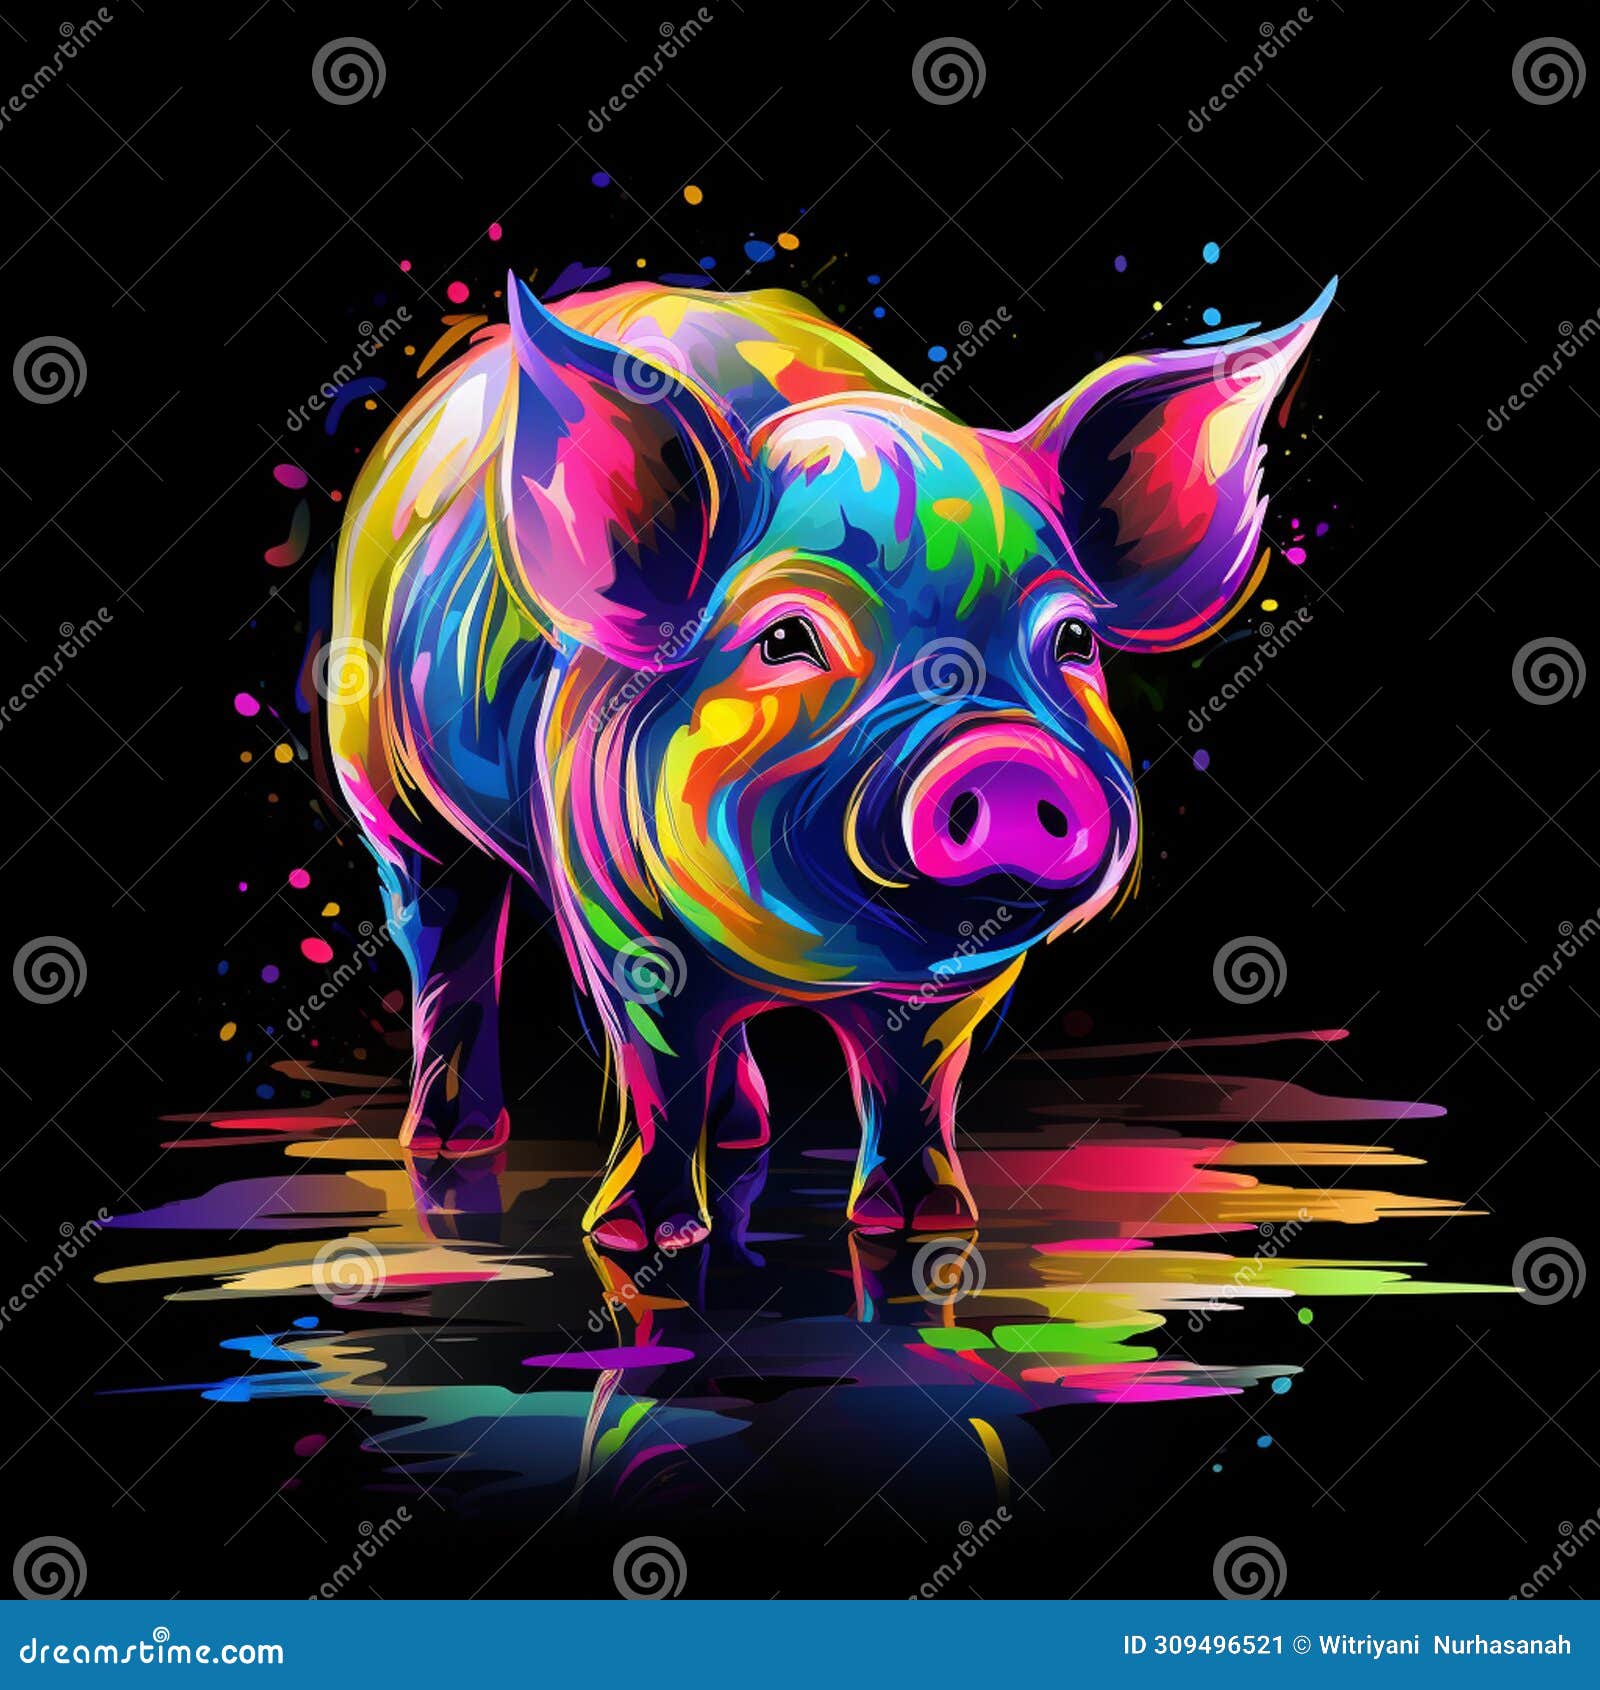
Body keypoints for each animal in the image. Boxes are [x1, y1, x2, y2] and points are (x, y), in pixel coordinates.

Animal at [327, 270, 1333, 1250]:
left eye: (1075, 639)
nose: (1007, 755)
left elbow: (918, 1078)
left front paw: (930, 1224)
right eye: (787, 639)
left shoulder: (965, 974)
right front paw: (639, 1241)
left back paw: (745, 1135)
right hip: (380, 784)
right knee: (443, 931)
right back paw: (450, 1143)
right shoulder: (610, 906)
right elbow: (657, 1061)